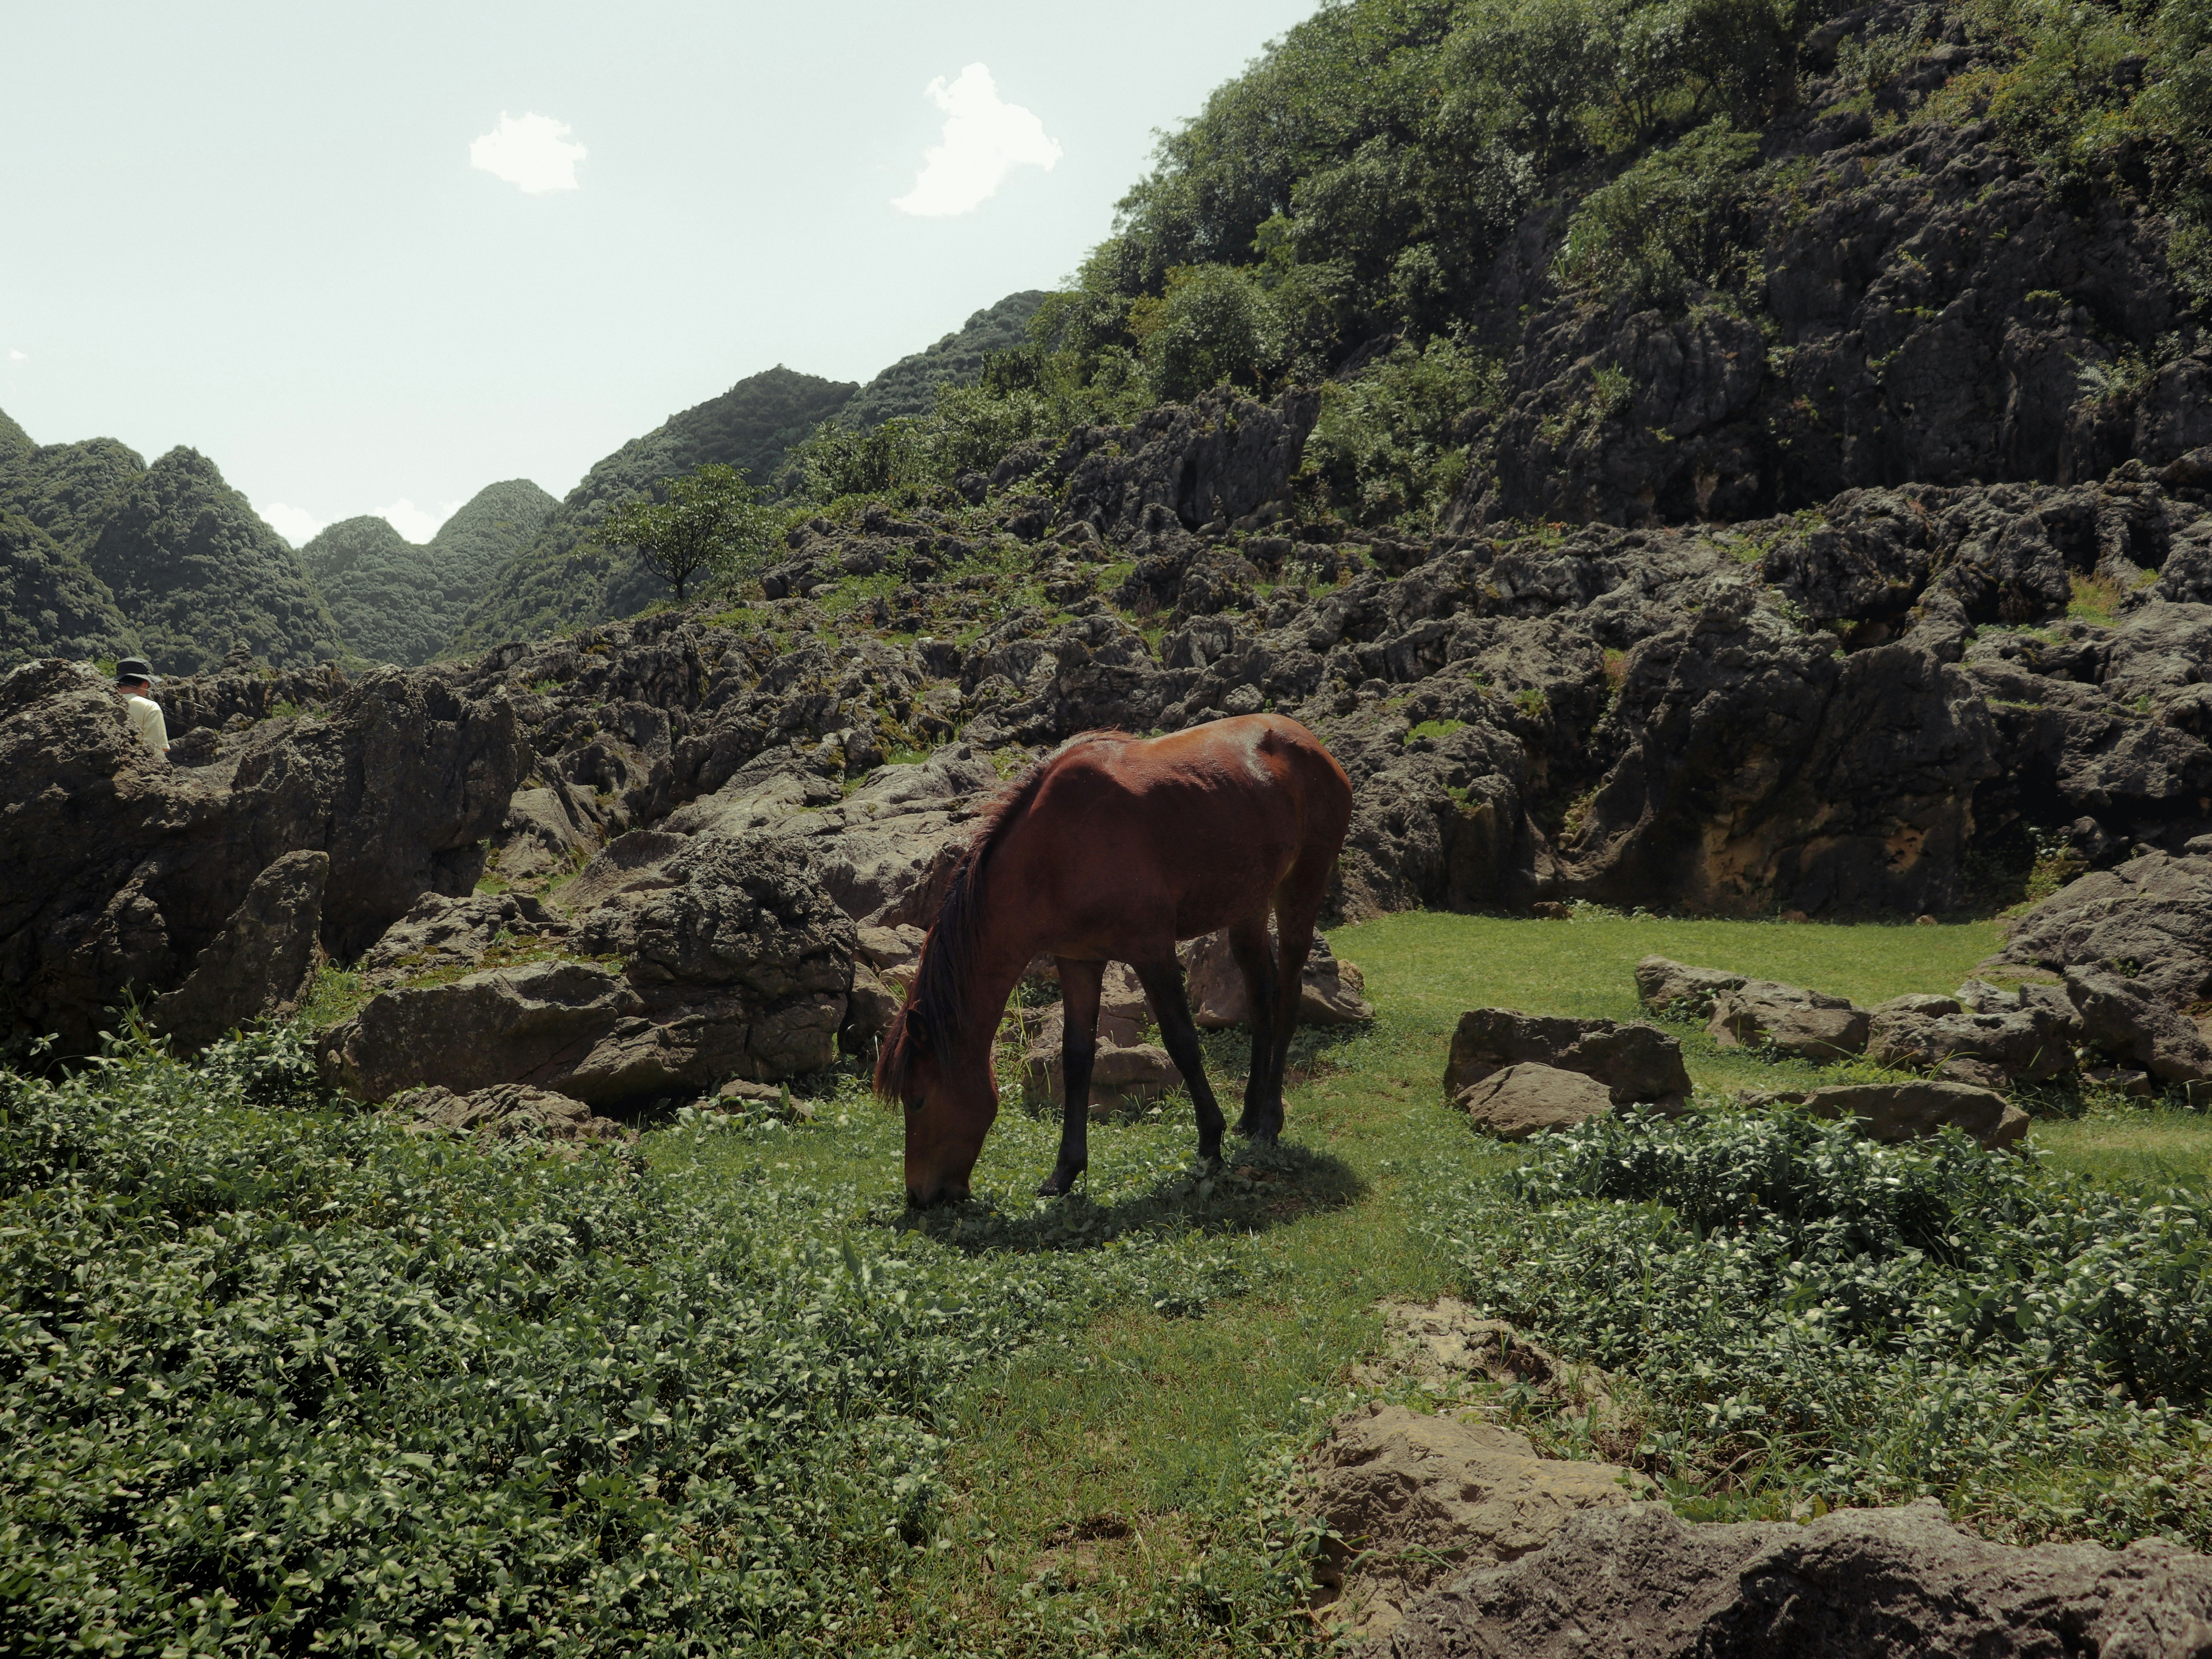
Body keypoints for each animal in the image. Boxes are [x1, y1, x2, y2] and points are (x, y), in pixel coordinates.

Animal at [875, 714, 1354, 1207]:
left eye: (917, 1100)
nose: (919, 1195)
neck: (1055, 850)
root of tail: (1309, 742)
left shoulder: (1152, 952)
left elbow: (1182, 1043)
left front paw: (1210, 1142)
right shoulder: (1077, 961)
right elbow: (1076, 1058)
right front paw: (1064, 1172)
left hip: (1301, 890)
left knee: (1287, 999)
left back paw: (1269, 1123)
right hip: (1248, 909)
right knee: (1260, 1001)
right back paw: (1248, 1117)